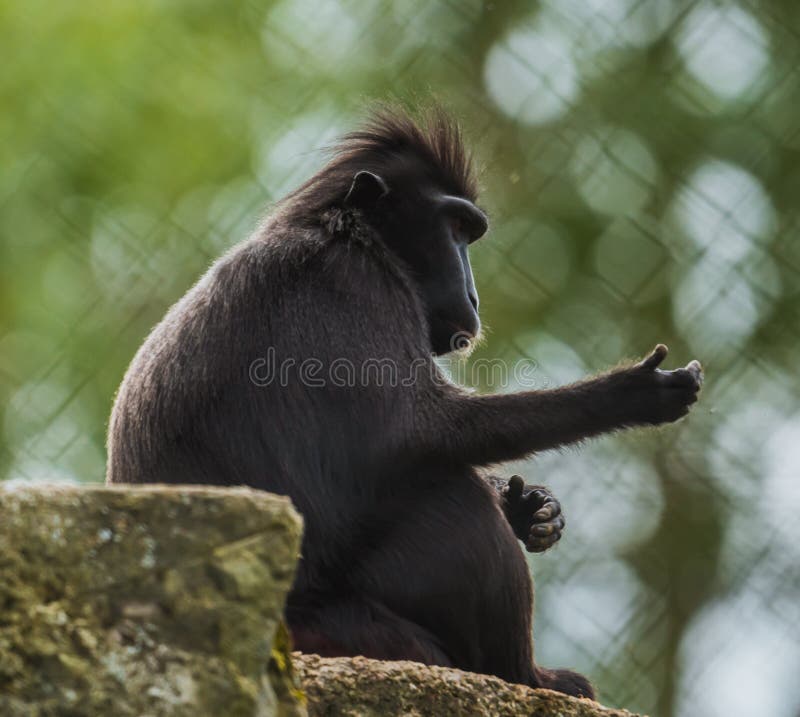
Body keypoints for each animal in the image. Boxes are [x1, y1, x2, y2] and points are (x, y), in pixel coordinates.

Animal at [107, 107, 703, 699]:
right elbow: (418, 433)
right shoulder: (354, 279)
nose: (474, 298)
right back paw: (530, 677)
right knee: (449, 494)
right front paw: (627, 394)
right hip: (349, 628)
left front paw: (532, 508)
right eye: (456, 230)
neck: (348, 230)